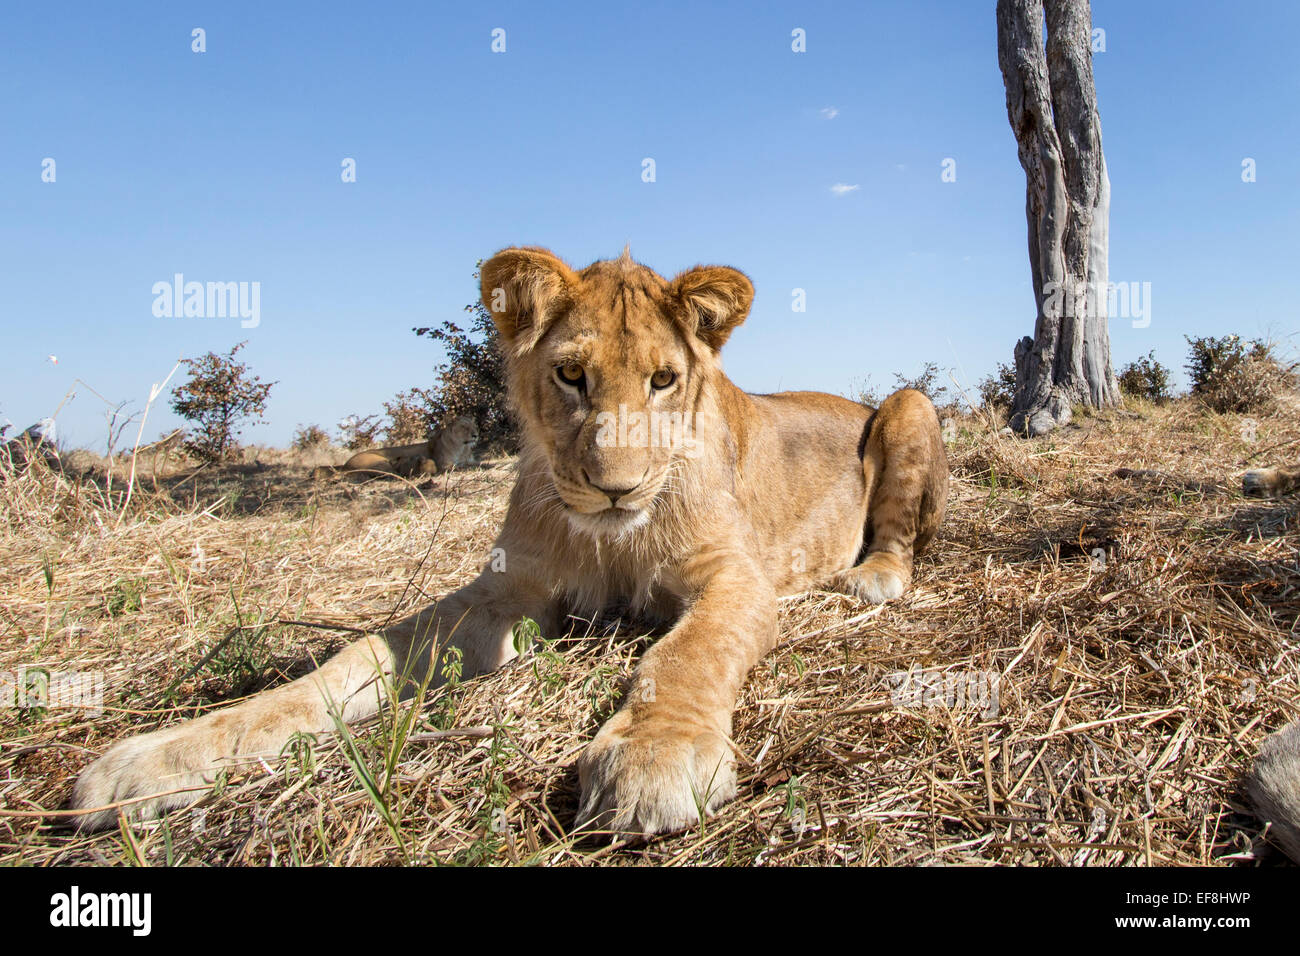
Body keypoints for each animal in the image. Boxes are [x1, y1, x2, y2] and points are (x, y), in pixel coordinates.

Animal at [310, 416, 478, 482]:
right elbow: (461, 466)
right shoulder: (445, 464)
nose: (476, 435)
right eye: (464, 427)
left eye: (474, 425)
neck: (463, 447)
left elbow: (476, 462)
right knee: (392, 474)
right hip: (380, 463)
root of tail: (345, 464)